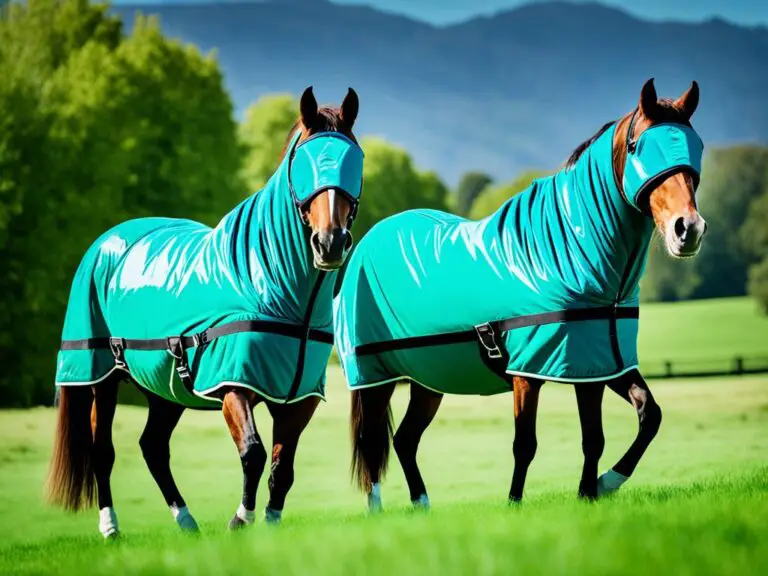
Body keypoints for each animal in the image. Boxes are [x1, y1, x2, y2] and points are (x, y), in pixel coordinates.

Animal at [46, 87, 365, 538]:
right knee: (102, 450)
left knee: (153, 447)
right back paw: (111, 526)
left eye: (354, 161)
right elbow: (253, 452)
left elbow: (282, 467)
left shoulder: (298, 398)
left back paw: (186, 520)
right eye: (303, 163)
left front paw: (270, 522)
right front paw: (241, 518)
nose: (330, 242)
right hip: (99, 374)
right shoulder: (233, 383)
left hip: (164, 388)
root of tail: (107, 242)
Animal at [334, 78, 706, 511]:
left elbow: (630, 423)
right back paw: (378, 511)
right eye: (637, 148)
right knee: (372, 441)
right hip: (373, 376)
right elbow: (524, 444)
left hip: (429, 378)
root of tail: (364, 244)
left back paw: (423, 505)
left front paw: (598, 487)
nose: (688, 229)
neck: (567, 253)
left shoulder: (597, 363)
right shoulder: (528, 373)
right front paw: (515, 504)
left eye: (694, 146)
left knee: (405, 440)